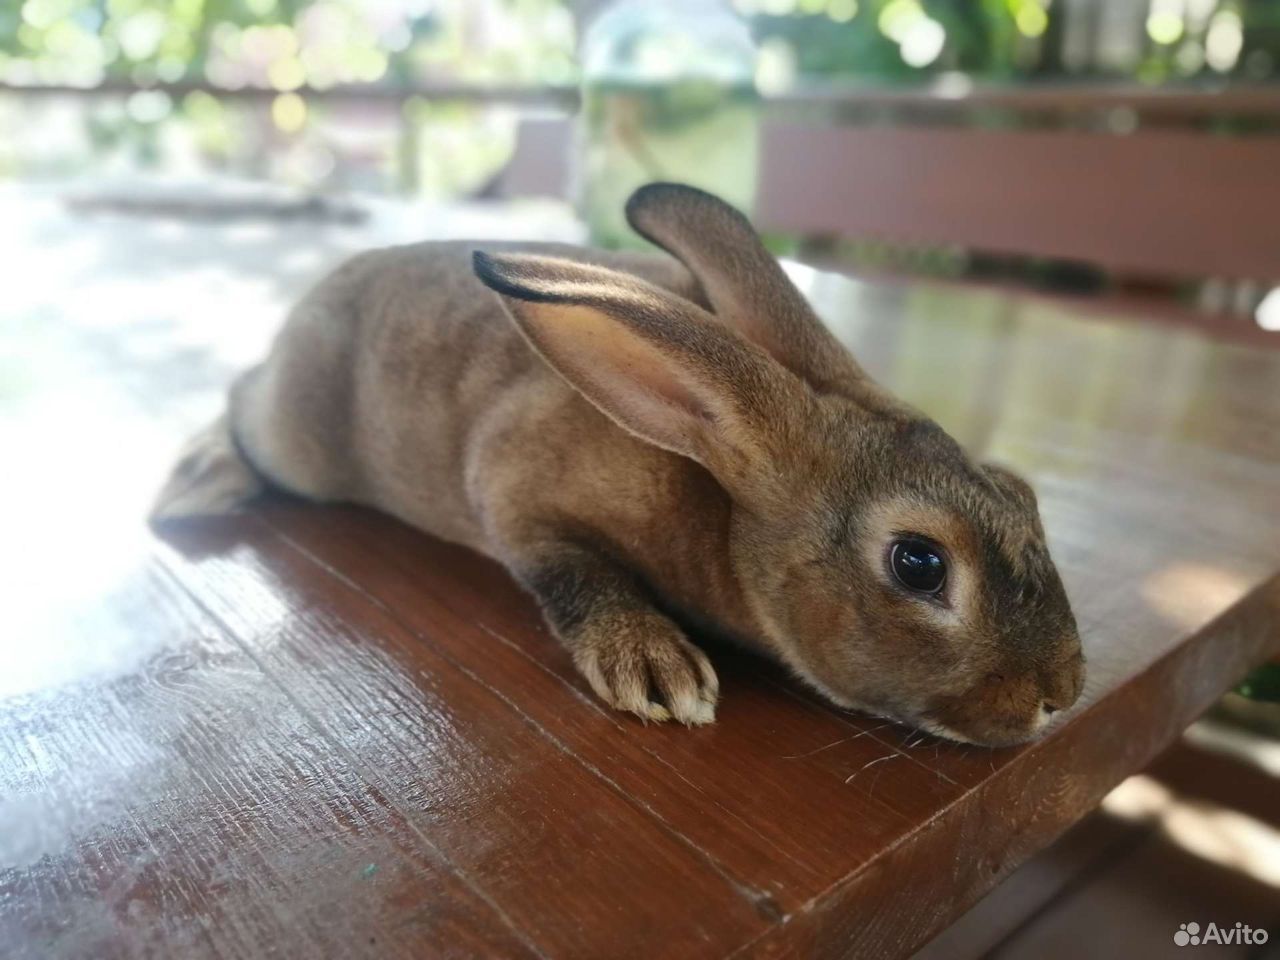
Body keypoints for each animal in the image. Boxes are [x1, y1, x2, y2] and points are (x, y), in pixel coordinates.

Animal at [152, 182, 1085, 747]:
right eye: (919, 562)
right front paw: (656, 668)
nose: (1061, 693)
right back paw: (197, 479)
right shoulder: (516, 496)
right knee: (241, 399)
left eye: (1022, 495)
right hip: (299, 439)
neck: (719, 483)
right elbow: (569, 571)